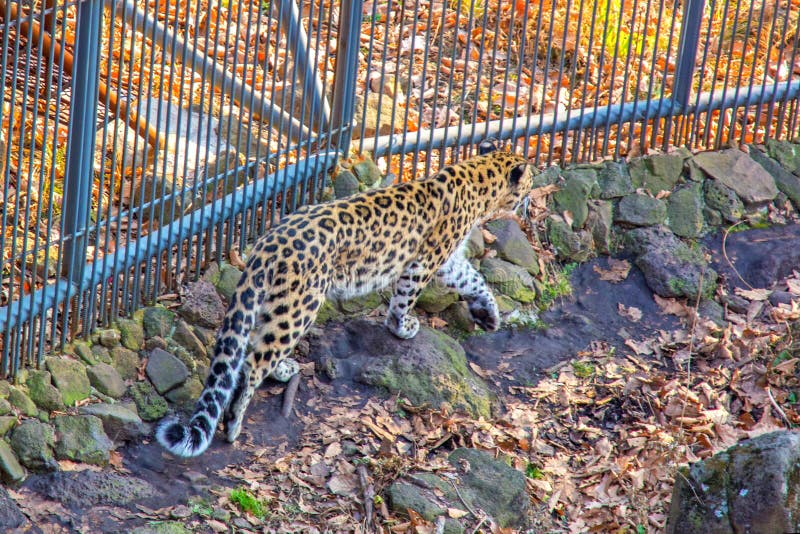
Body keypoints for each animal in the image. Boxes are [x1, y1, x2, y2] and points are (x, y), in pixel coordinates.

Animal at [156, 138, 536, 457]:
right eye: (530, 180)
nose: (532, 197)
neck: (477, 179)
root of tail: (267, 244)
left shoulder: (449, 261)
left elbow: (475, 280)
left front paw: (490, 315)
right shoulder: (425, 262)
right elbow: (405, 297)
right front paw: (402, 327)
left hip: (277, 303)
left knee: (258, 346)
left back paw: (283, 370)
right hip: (300, 305)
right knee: (251, 363)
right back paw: (234, 423)